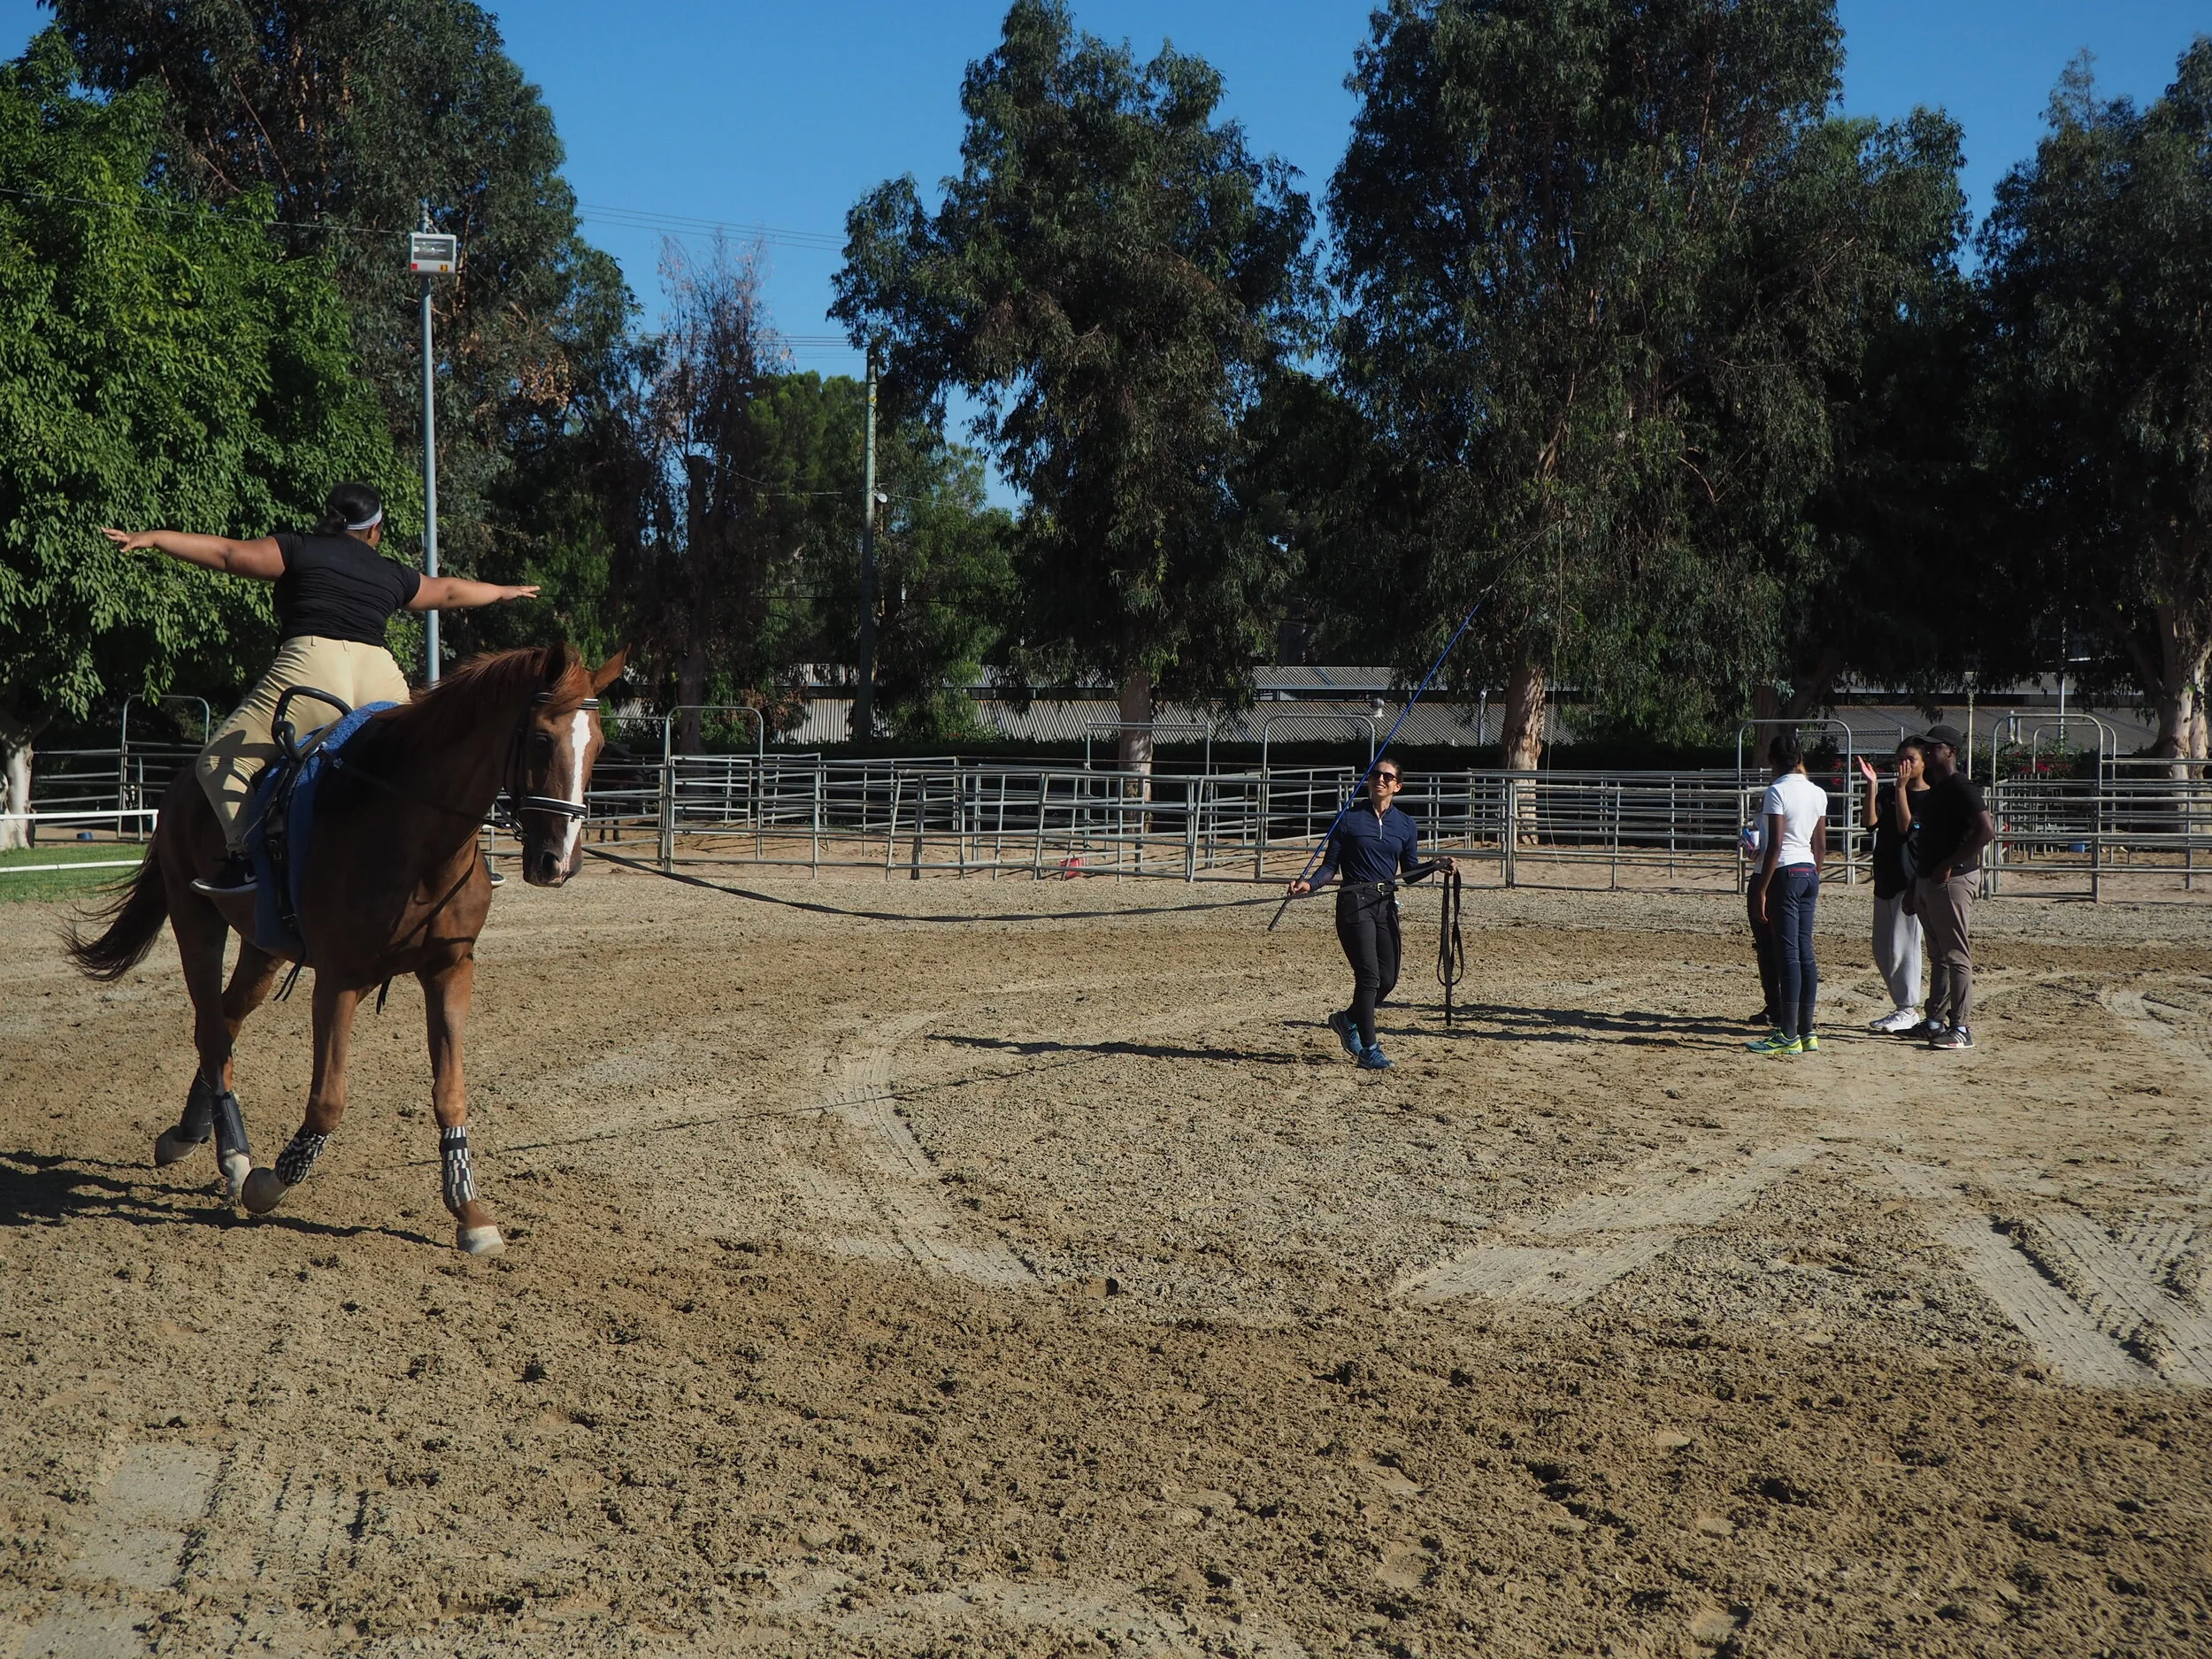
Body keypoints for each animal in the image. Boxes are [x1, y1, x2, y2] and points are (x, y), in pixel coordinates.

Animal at [67, 642, 628, 1254]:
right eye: (543, 740)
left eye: (598, 745)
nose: (559, 861)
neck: (413, 838)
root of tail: (182, 786)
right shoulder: (339, 981)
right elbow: (329, 1101)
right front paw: (269, 1184)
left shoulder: (451, 970)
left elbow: (450, 1091)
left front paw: (469, 1211)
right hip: (196, 918)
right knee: (212, 1031)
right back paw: (235, 1156)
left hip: (264, 947)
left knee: (227, 1022)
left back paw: (190, 1134)